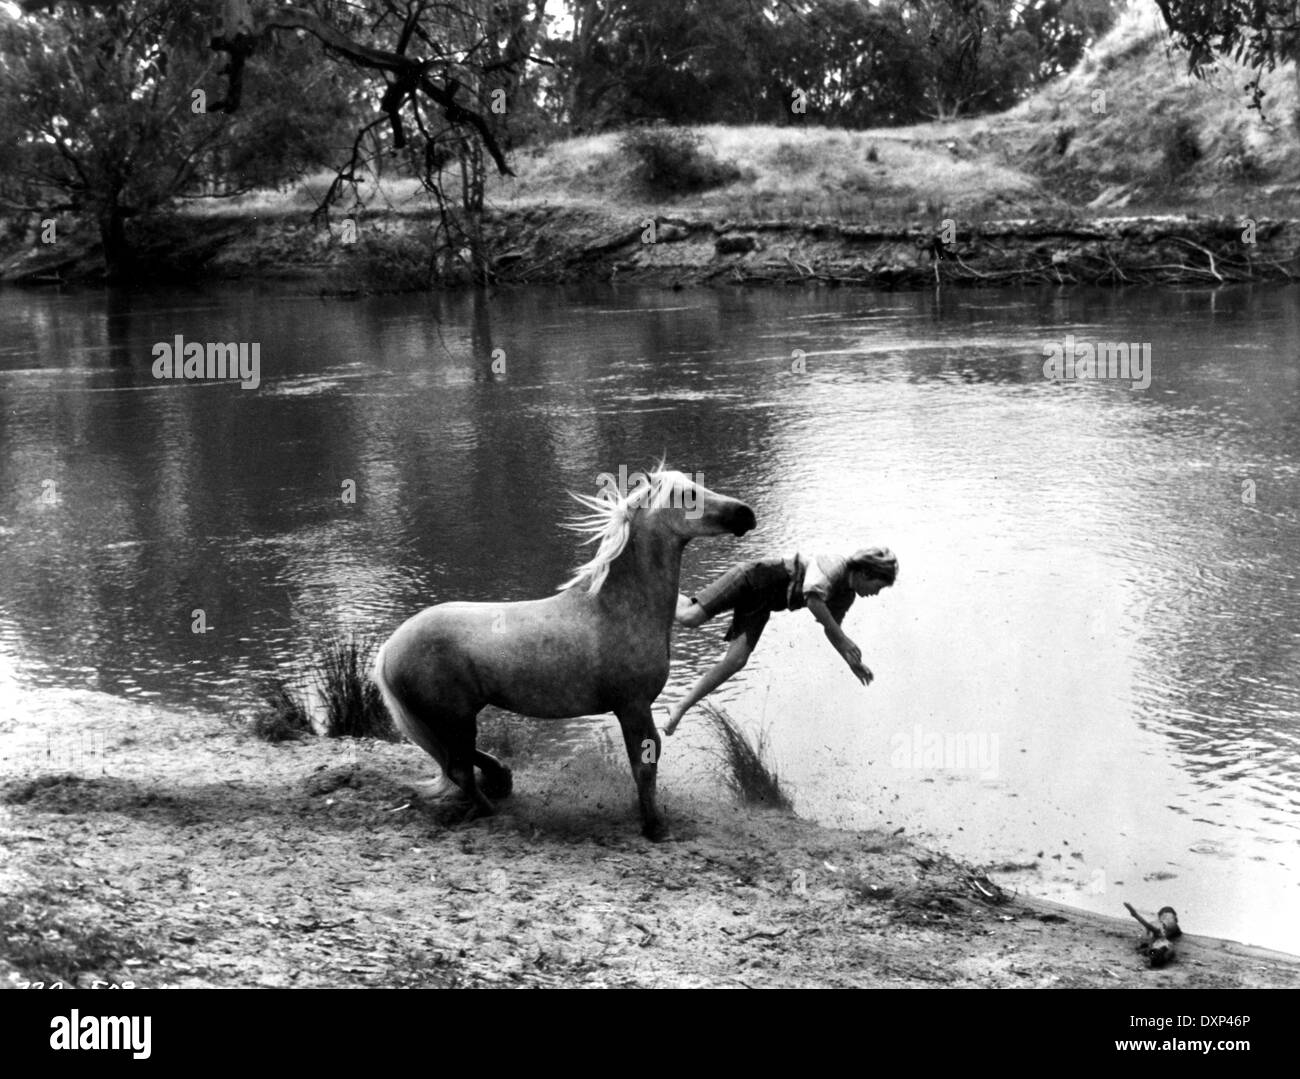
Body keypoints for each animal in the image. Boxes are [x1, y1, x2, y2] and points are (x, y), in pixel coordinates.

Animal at [372, 467, 757, 840]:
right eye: (688, 495)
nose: (745, 514)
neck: (617, 608)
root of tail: (390, 648)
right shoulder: (632, 706)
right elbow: (644, 765)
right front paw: (654, 828)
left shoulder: (635, 707)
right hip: (454, 718)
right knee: (458, 768)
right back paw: (491, 807)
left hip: (455, 719)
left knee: (461, 759)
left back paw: (502, 780)